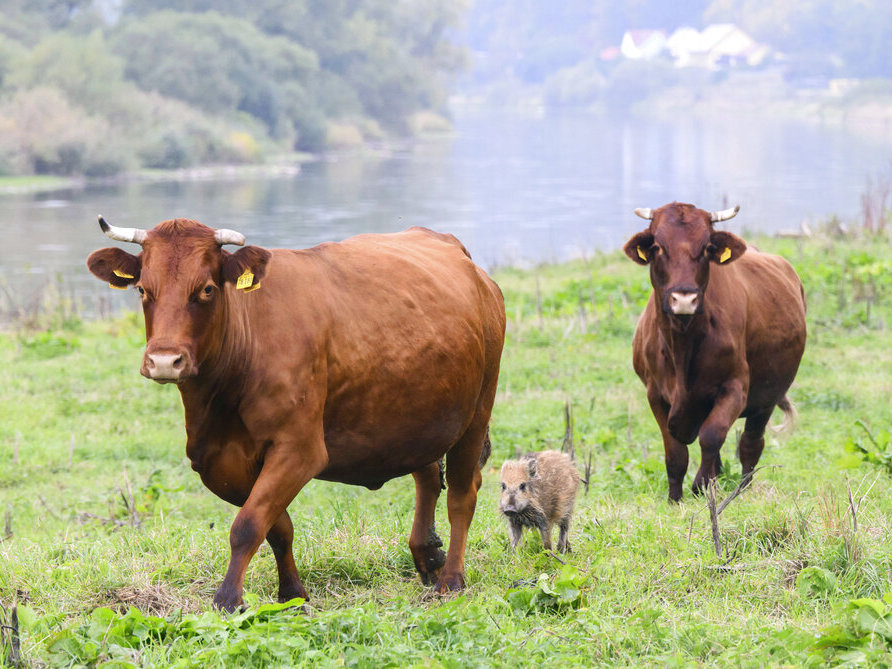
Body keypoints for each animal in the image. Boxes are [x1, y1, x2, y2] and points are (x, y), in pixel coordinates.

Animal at [86, 217, 506, 611]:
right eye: (143, 289)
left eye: (205, 288)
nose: (164, 361)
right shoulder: (217, 460)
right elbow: (277, 527)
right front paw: (292, 594)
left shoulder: (299, 448)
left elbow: (247, 525)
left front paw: (228, 599)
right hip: (418, 417)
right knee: (429, 475)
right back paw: (427, 553)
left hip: (477, 411)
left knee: (462, 494)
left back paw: (451, 579)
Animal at [623, 202, 806, 502]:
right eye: (658, 246)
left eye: (707, 246)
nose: (684, 299)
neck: (682, 345)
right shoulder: (655, 393)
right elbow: (675, 451)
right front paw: (675, 498)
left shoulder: (735, 387)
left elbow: (711, 436)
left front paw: (701, 486)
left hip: (767, 397)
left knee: (750, 443)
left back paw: (742, 489)